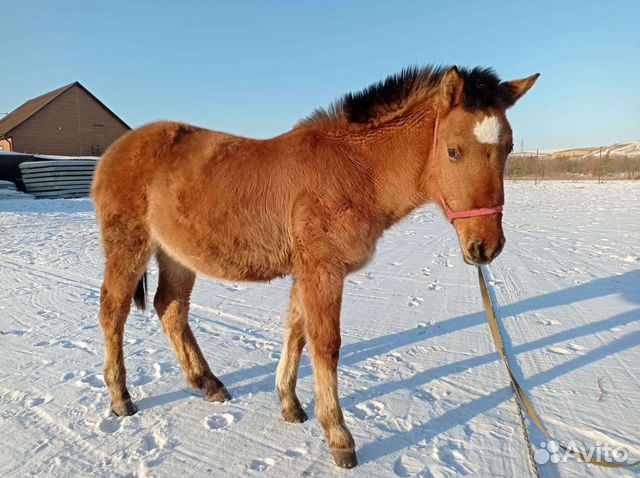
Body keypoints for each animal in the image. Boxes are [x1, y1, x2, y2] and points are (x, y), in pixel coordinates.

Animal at [92, 65, 538, 468]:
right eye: (453, 150)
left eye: (509, 148)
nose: (485, 247)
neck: (355, 170)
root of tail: (114, 151)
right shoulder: (323, 269)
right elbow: (325, 343)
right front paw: (339, 437)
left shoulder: (305, 271)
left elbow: (296, 330)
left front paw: (289, 404)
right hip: (129, 245)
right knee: (113, 310)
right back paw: (121, 397)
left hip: (177, 255)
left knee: (170, 308)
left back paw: (208, 383)